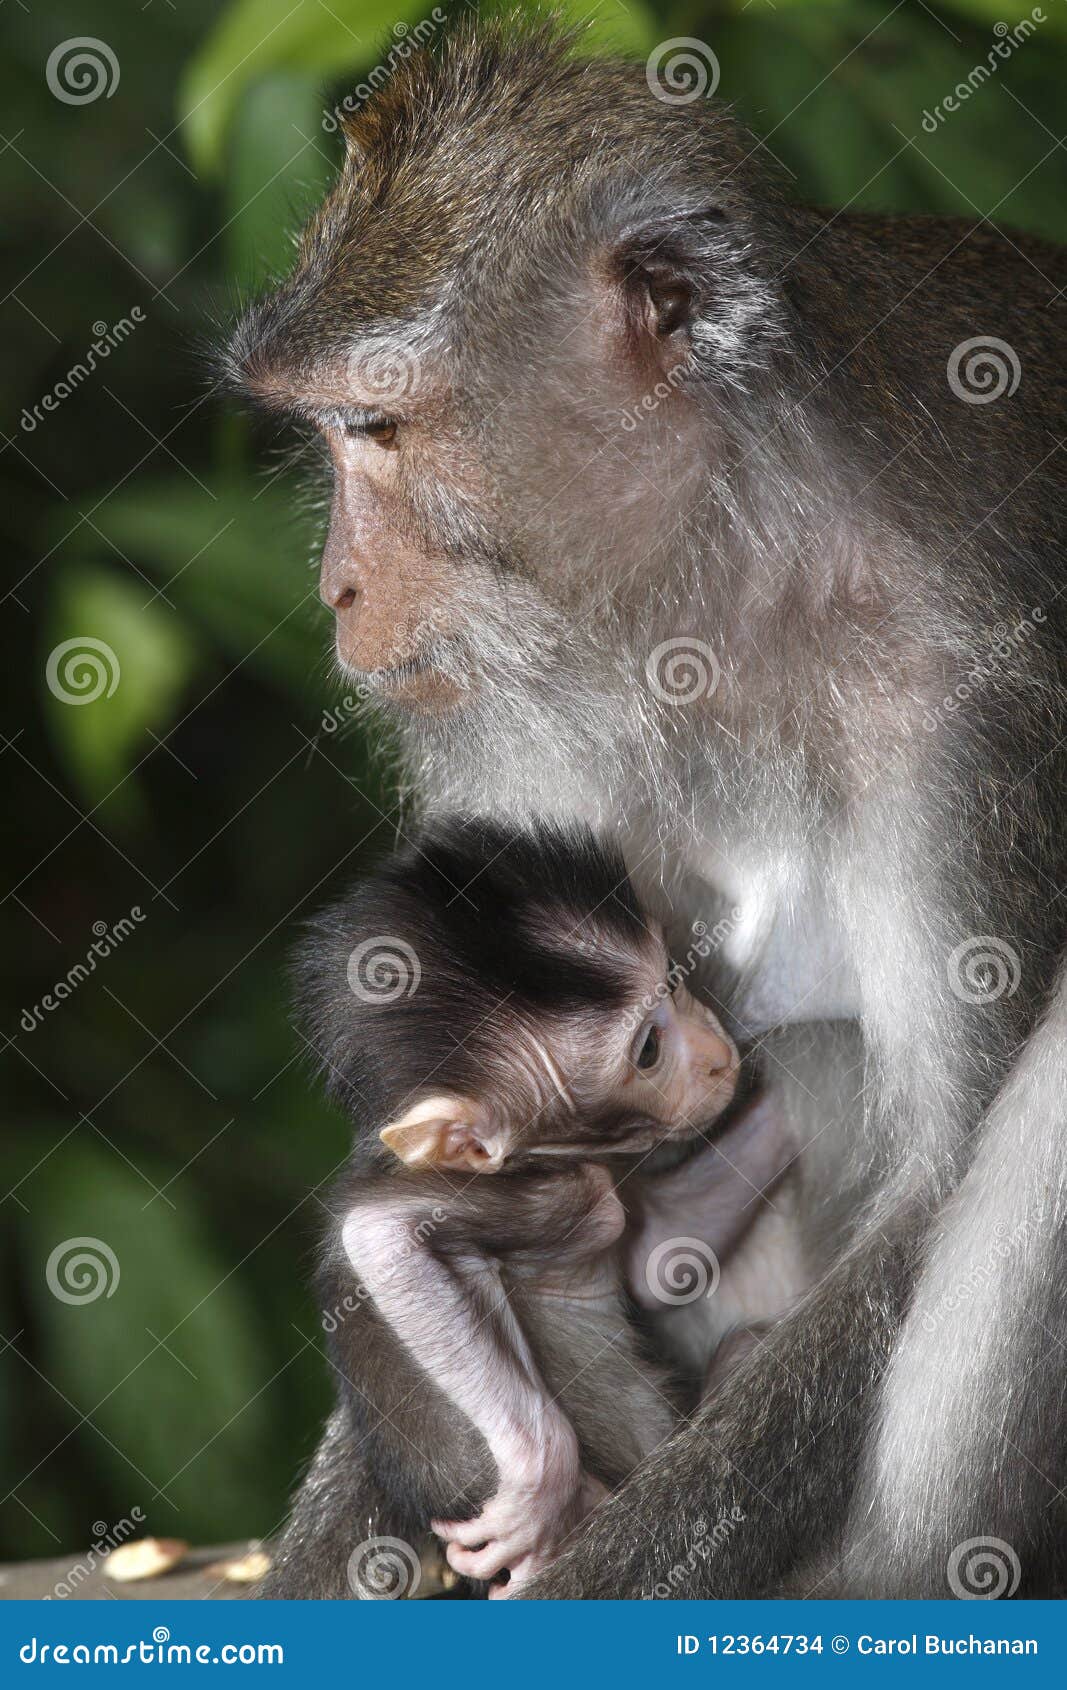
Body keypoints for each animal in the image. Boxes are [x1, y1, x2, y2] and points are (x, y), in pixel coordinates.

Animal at [291, 816, 799, 1596]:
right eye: (648, 1051)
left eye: (674, 981)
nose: (718, 1054)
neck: (544, 1156)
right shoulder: (550, 1195)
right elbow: (381, 1236)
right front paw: (538, 1479)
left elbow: (659, 1256)